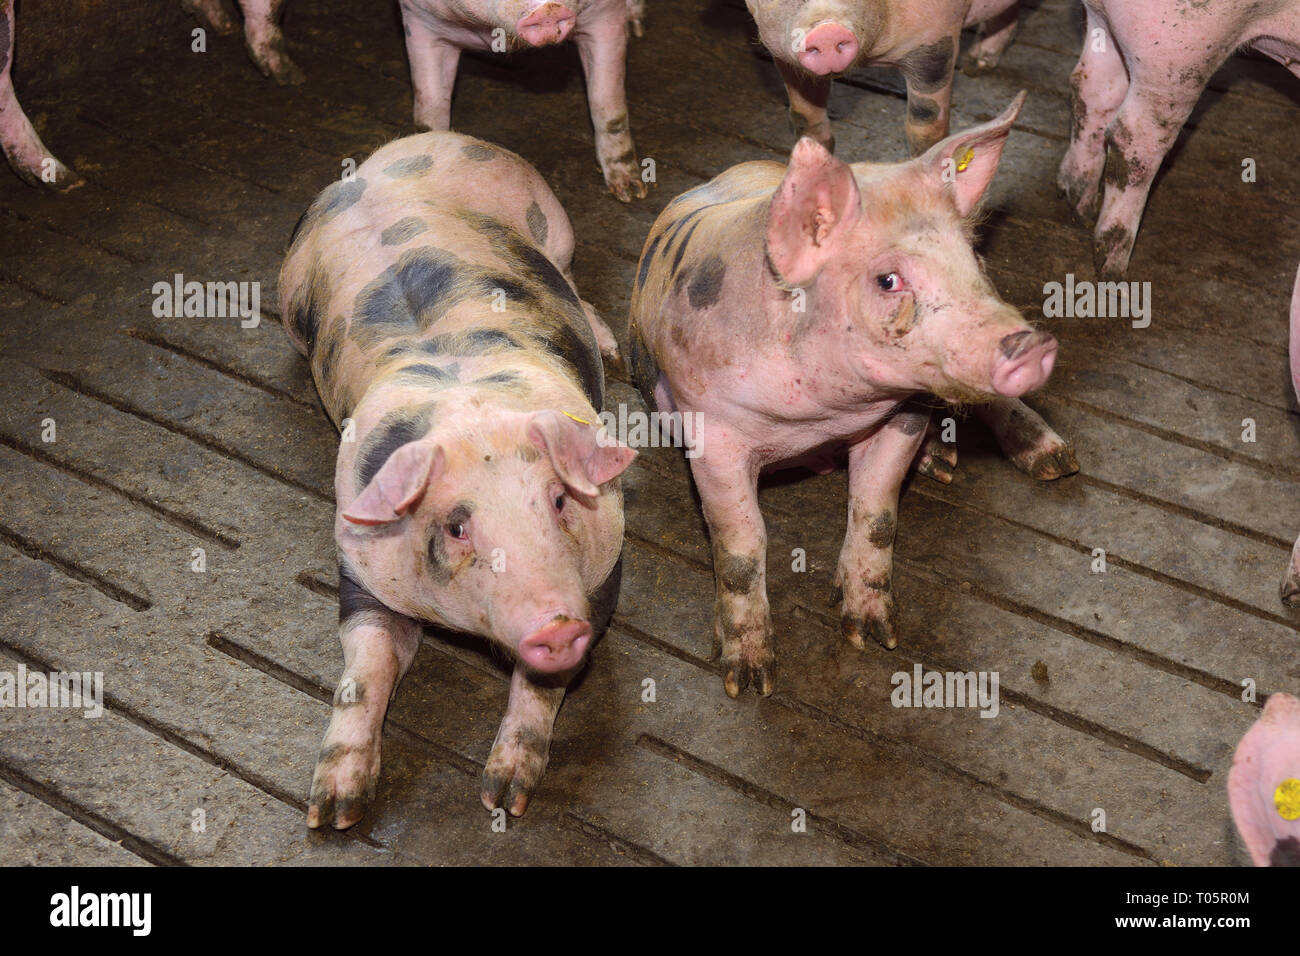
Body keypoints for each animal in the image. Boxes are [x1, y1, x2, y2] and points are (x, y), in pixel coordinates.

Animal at [280, 131, 635, 826]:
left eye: (559, 500)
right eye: (457, 527)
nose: (556, 625)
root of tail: (376, 166)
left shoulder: (605, 568)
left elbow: (542, 688)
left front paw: (504, 799)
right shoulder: (361, 568)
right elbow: (363, 675)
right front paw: (331, 813)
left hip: (547, 215)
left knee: (572, 272)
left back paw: (609, 345)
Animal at [398, 0, 648, 202]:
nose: (549, 9)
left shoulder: (607, 17)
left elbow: (608, 107)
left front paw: (631, 193)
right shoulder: (418, 22)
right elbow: (429, 106)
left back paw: (636, 28)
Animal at [628, 93, 1075, 697]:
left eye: (975, 259)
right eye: (888, 280)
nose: (1032, 344)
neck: (820, 420)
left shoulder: (904, 413)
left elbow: (877, 513)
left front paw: (873, 637)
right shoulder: (710, 428)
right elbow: (741, 547)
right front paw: (750, 682)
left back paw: (1049, 462)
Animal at [743, 0, 1022, 156]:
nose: (827, 32)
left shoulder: (936, 43)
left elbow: (925, 124)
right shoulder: (781, 53)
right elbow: (804, 113)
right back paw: (979, 63)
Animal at [1058, 0, 1300, 279]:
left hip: (1105, 26)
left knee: (1089, 89)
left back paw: (1076, 204)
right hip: (1180, 52)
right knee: (1132, 140)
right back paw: (1114, 269)